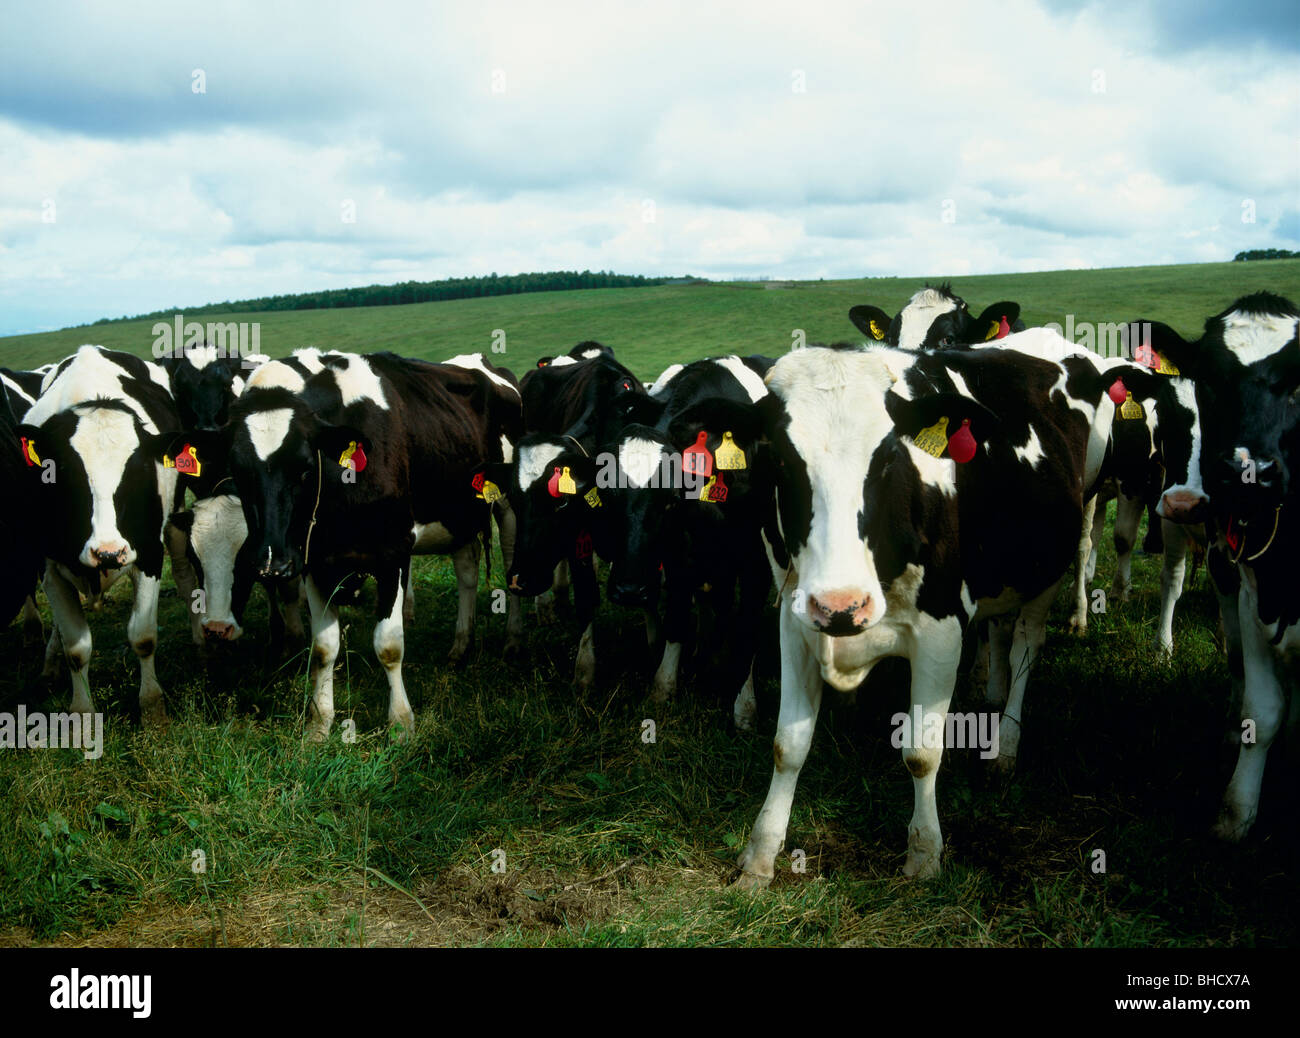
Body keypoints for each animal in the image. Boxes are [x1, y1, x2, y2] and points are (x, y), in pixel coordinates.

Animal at [15, 345, 181, 722]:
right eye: (67, 471)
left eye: (138, 470)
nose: (108, 551)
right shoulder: (49, 567)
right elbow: (75, 646)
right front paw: (81, 716)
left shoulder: (150, 553)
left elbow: (143, 637)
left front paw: (153, 710)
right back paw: (49, 665)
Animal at [732, 340, 1154, 887]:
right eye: (781, 460)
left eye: (888, 458)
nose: (843, 605)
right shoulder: (797, 620)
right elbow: (789, 745)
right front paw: (761, 855)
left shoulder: (941, 630)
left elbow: (920, 753)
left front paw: (925, 852)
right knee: (1001, 628)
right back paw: (990, 690)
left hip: (1056, 552)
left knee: (1027, 644)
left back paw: (1006, 743)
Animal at [1134, 292, 1300, 841]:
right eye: (1209, 377)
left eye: (1299, 379)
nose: (1248, 471)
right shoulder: (1249, 593)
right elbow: (1262, 709)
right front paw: (1237, 812)